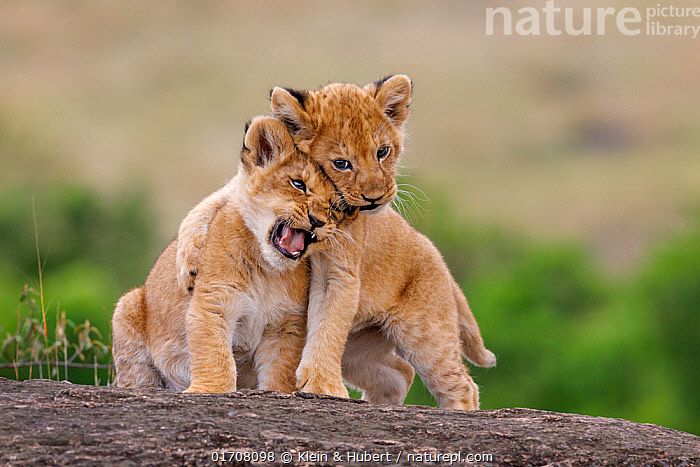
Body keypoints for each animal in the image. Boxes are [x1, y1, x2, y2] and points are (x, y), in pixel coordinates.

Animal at [111, 116, 338, 393]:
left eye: (334, 205)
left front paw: (278, 392)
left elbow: (279, 369)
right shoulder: (214, 302)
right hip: (127, 306)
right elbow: (215, 356)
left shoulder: (286, 323)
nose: (317, 221)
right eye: (298, 184)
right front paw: (209, 389)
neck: (267, 270)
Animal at [177, 76, 496, 409]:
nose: (376, 198)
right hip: (360, 350)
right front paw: (189, 259)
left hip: (425, 331)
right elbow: (215, 200)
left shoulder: (340, 270)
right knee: (400, 371)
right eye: (342, 163)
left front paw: (321, 384)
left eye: (383, 152)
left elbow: (328, 326)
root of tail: (437, 254)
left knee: (462, 385)